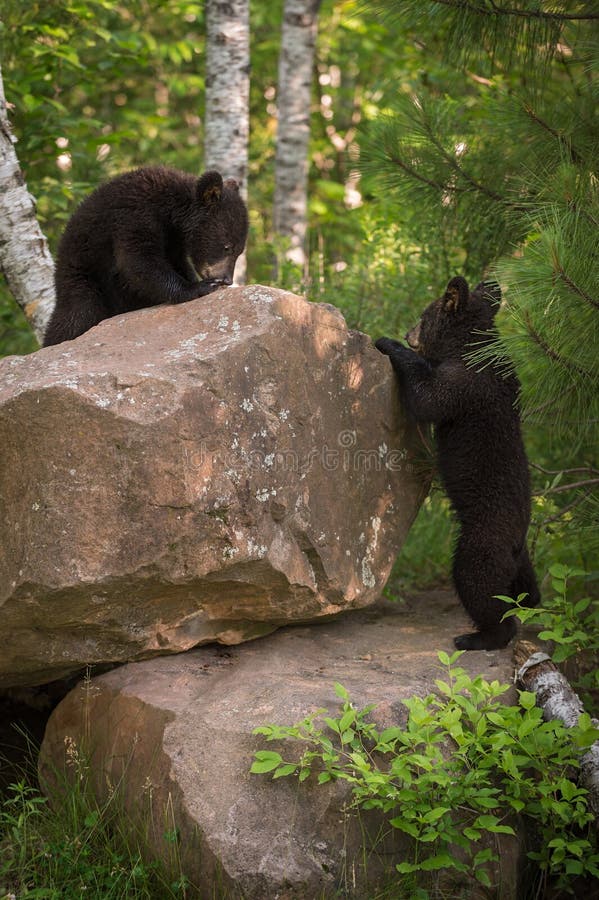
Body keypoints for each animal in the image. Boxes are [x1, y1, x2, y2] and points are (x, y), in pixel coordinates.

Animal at [43, 166, 248, 346]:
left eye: (239, 251)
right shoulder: (134, 214)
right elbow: (138, 261)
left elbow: (175, 261)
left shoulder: (172, 239)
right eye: (227, 247)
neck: (171, 212)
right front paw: (200, 286)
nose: (227, 279)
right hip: (84, 279)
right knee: (77, 316)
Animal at [376, 276, 540, 651]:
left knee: (477, 582)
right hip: (520, 559)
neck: (467, 346)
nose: (408, 332)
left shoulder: (466, 382)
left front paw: (388, 343)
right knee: (525, 591)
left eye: (423, 316)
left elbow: (429, 399)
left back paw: (478, 636)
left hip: (482, 541)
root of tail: (515, 542)